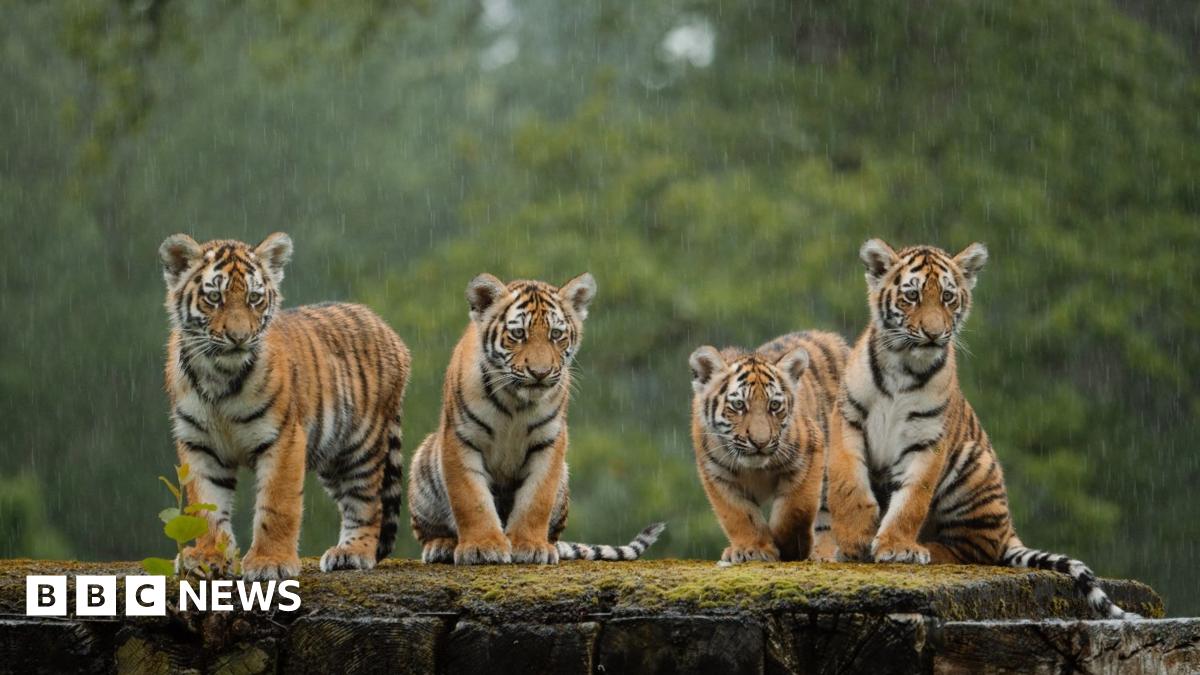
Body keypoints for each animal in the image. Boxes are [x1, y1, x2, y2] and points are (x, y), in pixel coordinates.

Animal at [158, 233, 411, 581]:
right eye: (214, 297)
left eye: (254, 298)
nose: (239, 337)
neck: (219, 375)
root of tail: (388, 330)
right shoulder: (199, 444)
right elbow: (206, 505)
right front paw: (208, 558)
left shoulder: (283, 438)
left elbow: (276, 505)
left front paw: (271, 563)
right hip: (332, 456)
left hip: (361, 446)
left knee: (367, 503)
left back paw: (352, 553)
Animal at [408, 273, 665, 565]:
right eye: (518, 334)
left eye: (556, 334)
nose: (540, 373)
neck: (515, 401)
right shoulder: (461, 436)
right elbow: (471, 498)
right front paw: (483, 547)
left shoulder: (550, 440)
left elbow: (536, 498)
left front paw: (529, 546)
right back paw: (441, 545)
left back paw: (548, 545)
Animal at [689, 331, 847, 564]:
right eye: (738, 405)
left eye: (774, 405)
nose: (760, 442)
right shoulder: (716, 474)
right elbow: (738, 514)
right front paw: (751, 549)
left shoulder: (810, 453)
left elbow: (794, 509)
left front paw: (793, 548)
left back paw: (826, 555)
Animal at [826, 238, 1136, 618]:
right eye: (911, 296)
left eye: (947, 297)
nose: (933, 334)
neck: (904, 364)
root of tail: (1010, 529)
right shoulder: (848, 421)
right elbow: (849, 486)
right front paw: (854, 543)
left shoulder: (928, 440)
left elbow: (912, 499)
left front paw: (898, 547)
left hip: (973, 467)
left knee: (975, 551)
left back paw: (926, 550)